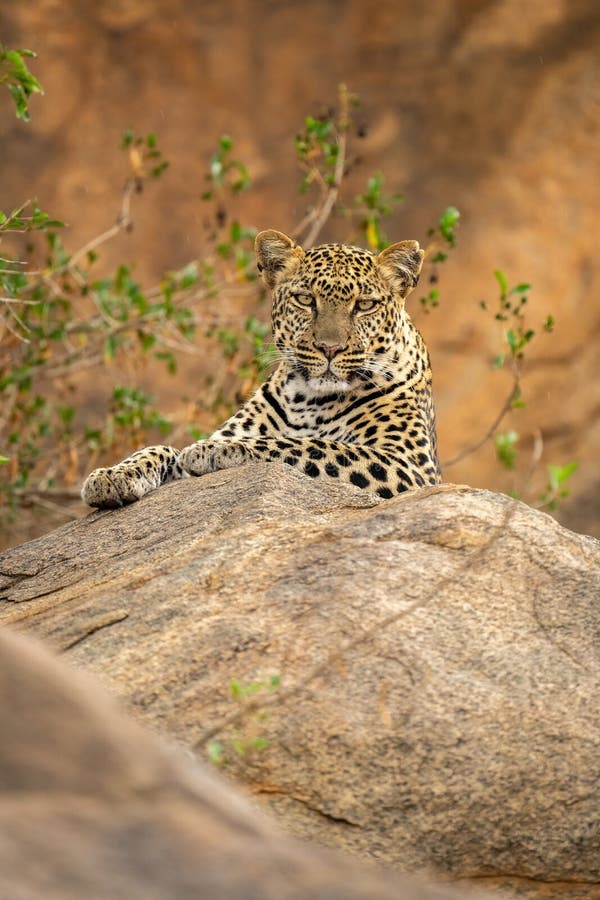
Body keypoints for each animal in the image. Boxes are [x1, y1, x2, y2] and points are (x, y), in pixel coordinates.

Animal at [81, 229, 441, 509]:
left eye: (365, 305)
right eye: (305, 299)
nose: (329, 348)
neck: (309, 400)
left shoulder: (410, 465)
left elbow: (307, 445)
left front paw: (215, 450)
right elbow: (164, 448)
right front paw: (113, 474)